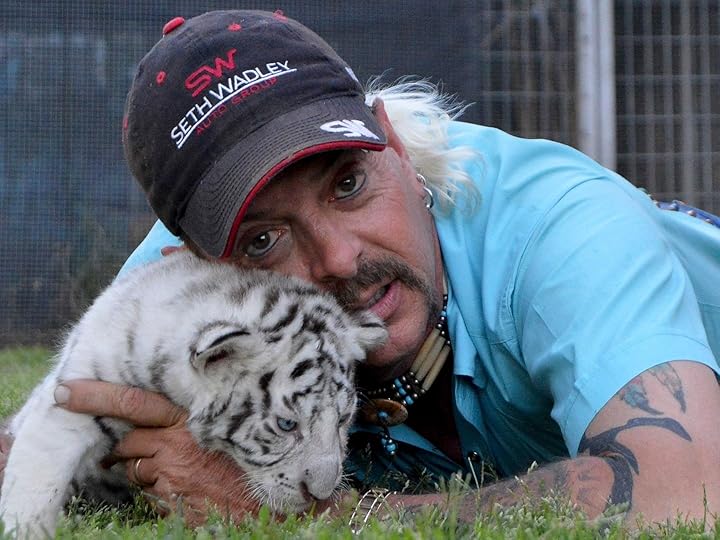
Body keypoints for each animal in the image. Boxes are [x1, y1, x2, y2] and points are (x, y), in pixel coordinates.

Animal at [0, 250, 387, 537]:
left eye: (343, 420)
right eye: (286, 425)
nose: (320, 495)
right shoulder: (73, 399)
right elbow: (37, 483)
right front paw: (22, 529)